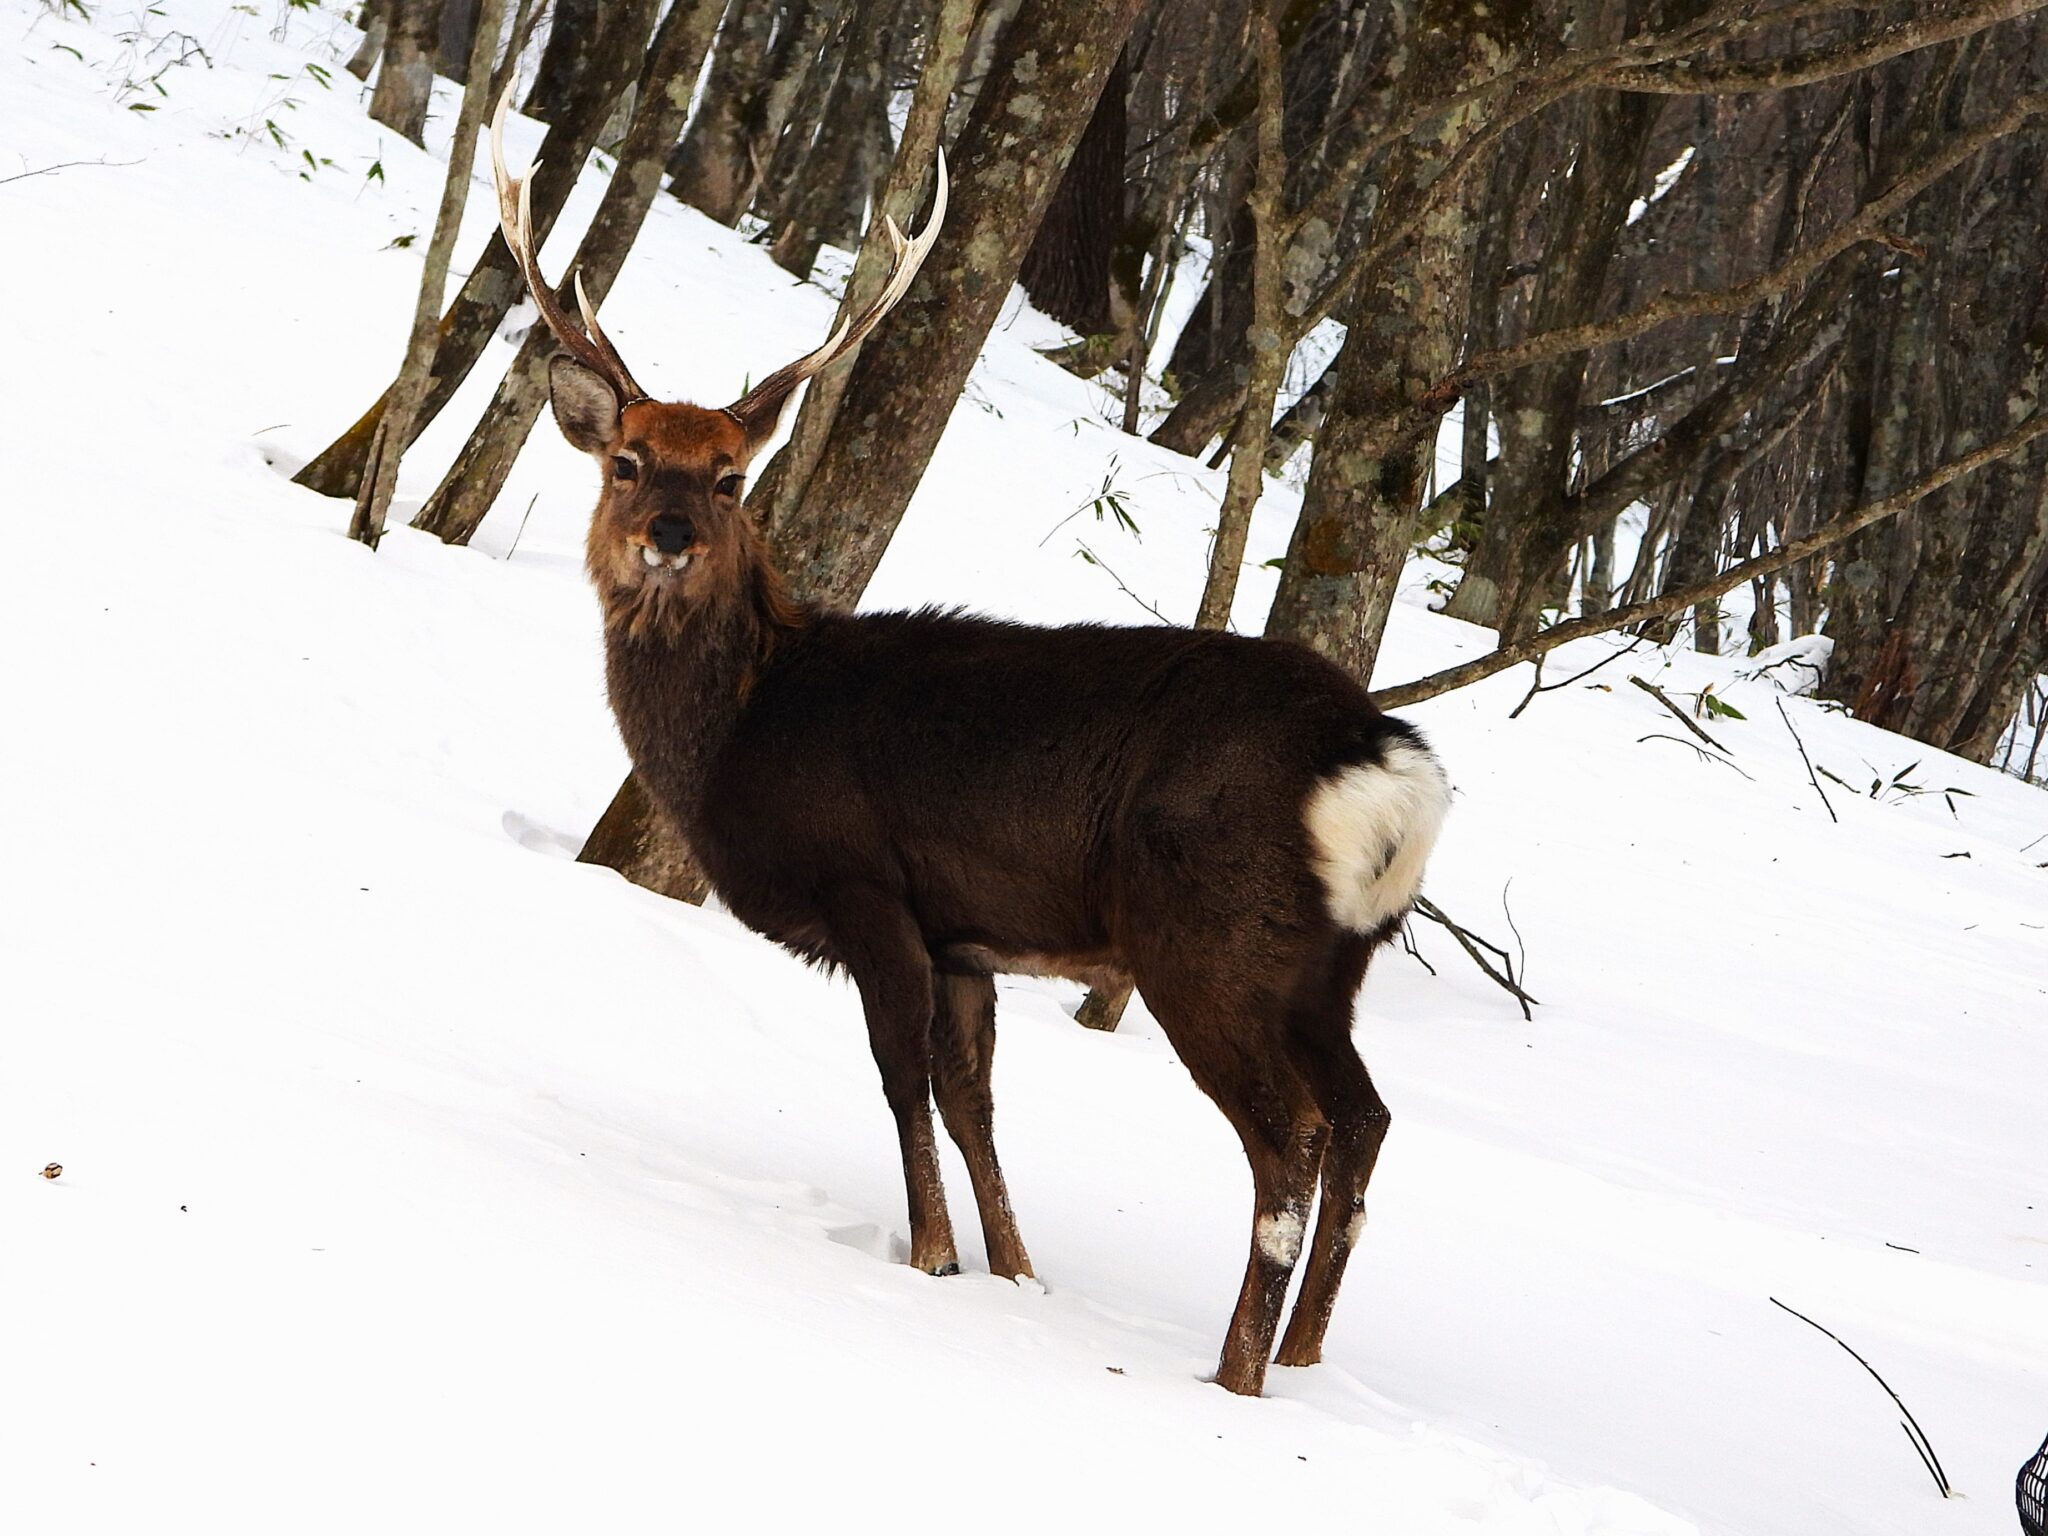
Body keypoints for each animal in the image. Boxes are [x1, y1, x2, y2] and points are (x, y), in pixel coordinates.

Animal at [488, 93, 1451, 1397]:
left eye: (732, 475)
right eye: (627, 461)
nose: (671, 536)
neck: (746, 719)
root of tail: (1375, 759)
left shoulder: (868, 883)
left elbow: (902, 1083)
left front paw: (935, 1258)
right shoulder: (965, 938)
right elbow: (972, 1101)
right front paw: (1018, 1274)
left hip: (1206, 936)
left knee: (1288, 1137)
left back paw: (1236, 1374)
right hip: (1328, 962)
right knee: (1362, 1120)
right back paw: (1300, 1364)